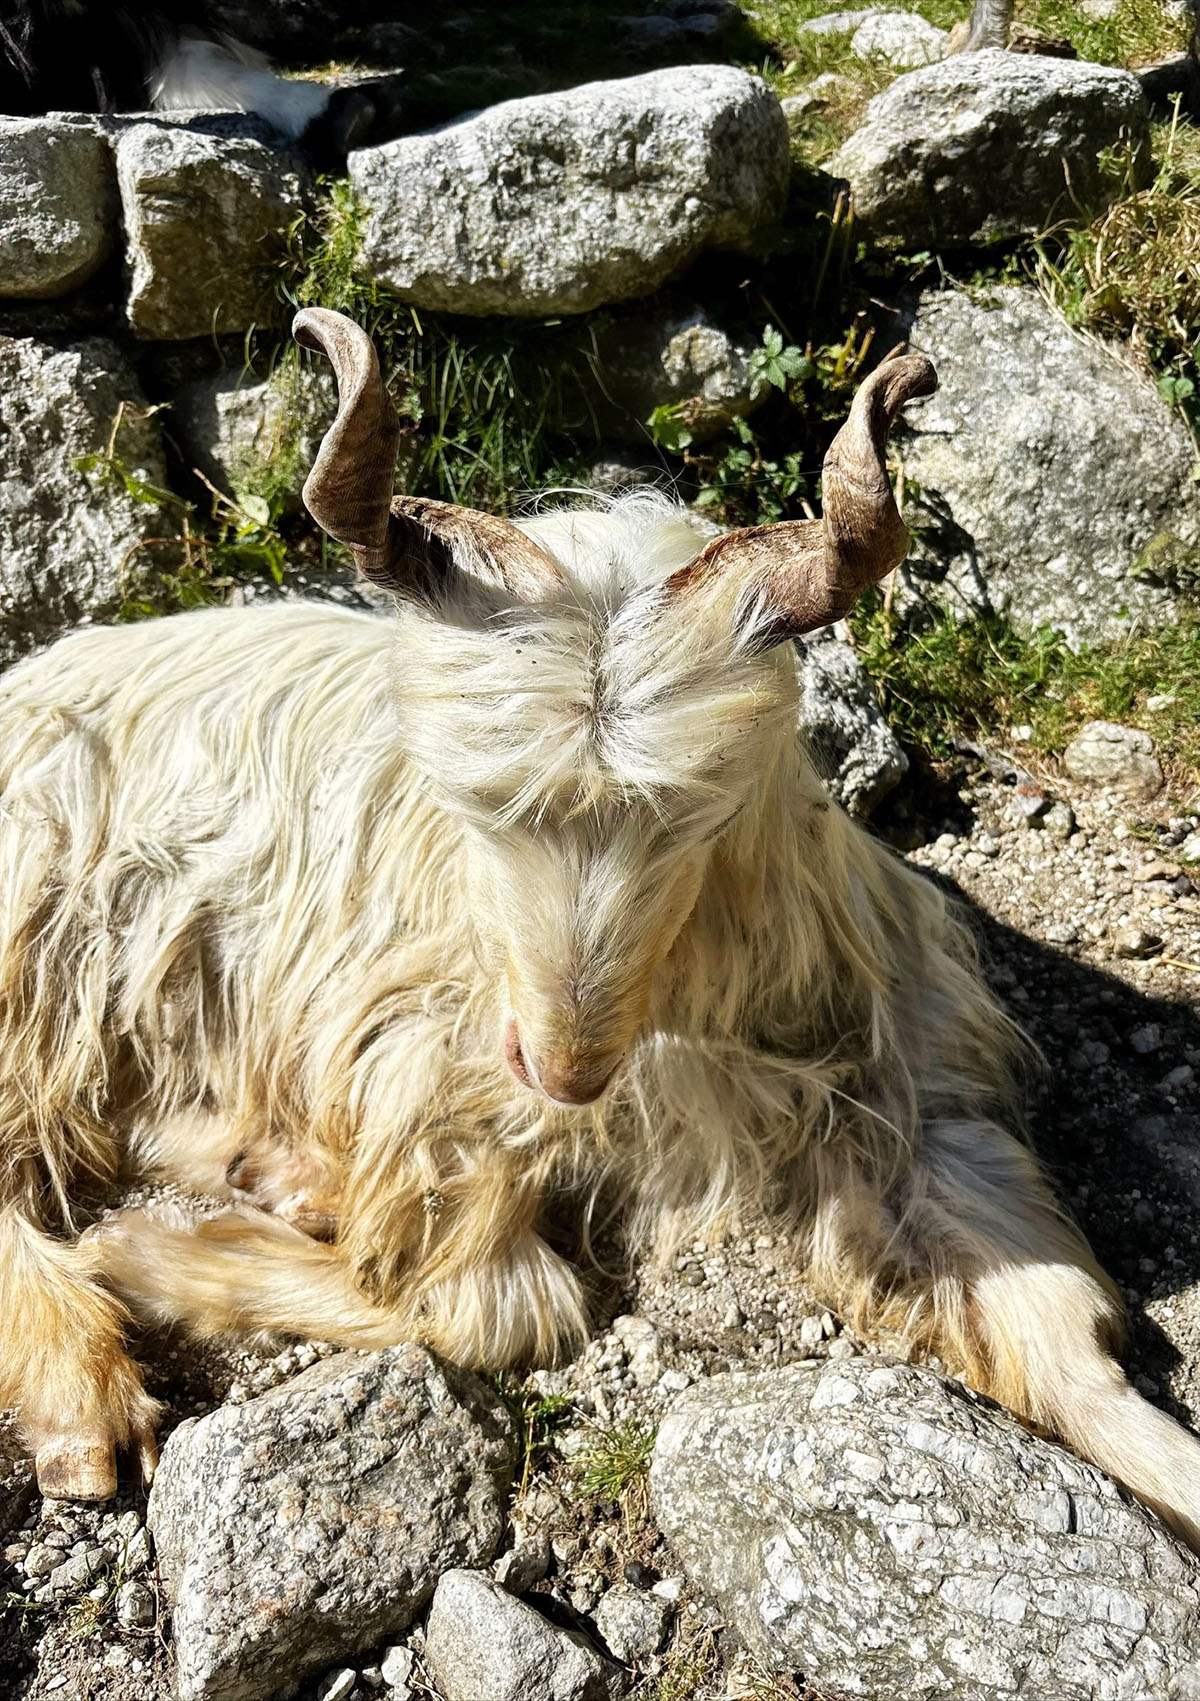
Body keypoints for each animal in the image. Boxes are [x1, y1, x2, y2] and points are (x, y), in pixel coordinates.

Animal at [2, 308, 1198, 1552]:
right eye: (469, 800)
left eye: (703, 816)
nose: (566, 1071)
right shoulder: (415, 1063)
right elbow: (507, 1309)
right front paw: (151, 1253)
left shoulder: (897, 1078)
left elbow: (1060, 1336)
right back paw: (80, 1393)